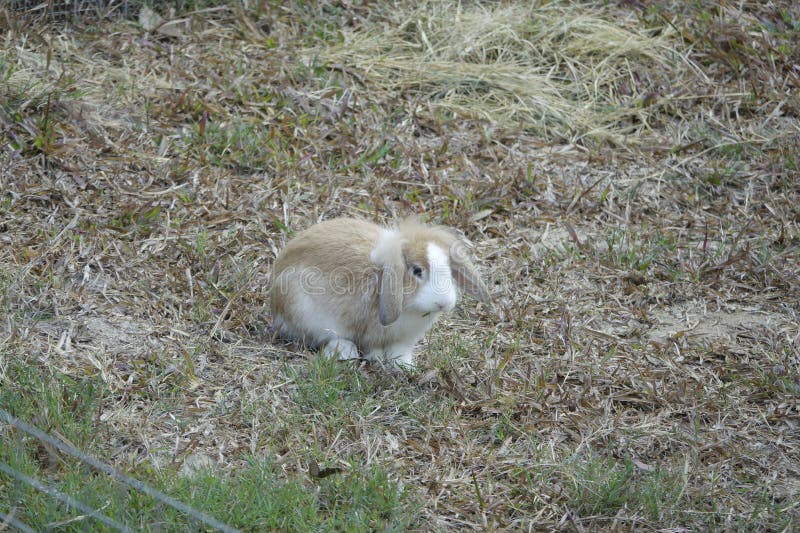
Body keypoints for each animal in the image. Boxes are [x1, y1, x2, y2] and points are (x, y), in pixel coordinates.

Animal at [269, 217, 491, 370]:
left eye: (448, 267)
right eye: (417, 270)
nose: (443, 303)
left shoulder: (404, 339)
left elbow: (399, 351)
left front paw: (404, 367)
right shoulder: (371, 333)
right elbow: (372, 347)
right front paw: (377, 360)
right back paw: (345, 352)